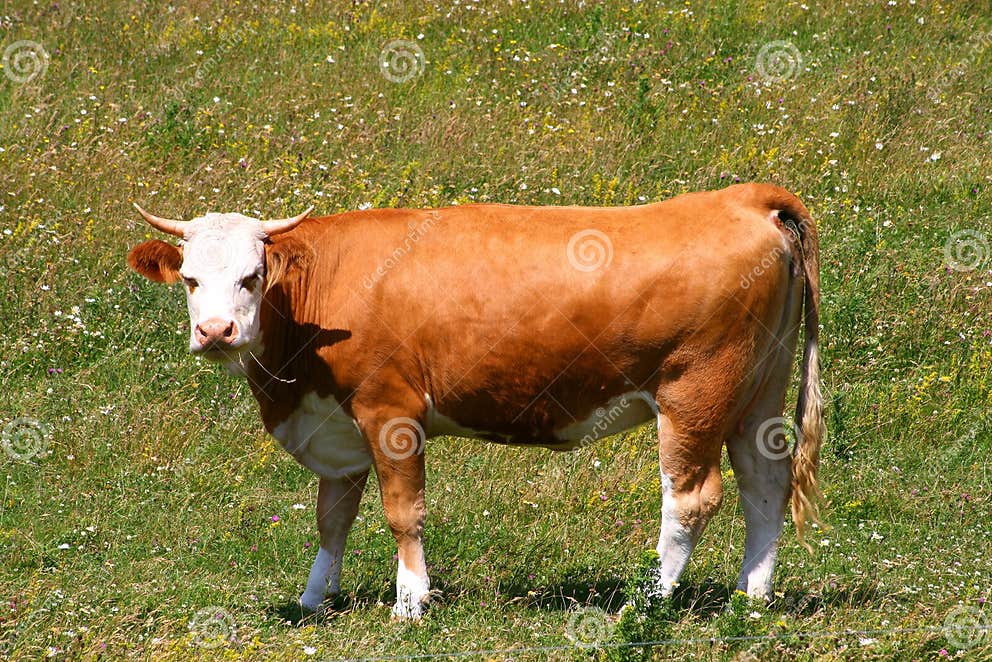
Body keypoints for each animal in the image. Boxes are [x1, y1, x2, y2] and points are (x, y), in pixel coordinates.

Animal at [126, 183, 824, 620]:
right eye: (190, 279)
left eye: (251, 278)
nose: (216, 331)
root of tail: (743, 196)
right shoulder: (337, 428)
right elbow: (333, 518)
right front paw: (314, 598)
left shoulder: (390, 411)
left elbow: (402, 512)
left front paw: (411, 602)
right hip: (757, 392)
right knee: (764, 484)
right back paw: (752, 598)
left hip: (696, 393)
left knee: (691, 498)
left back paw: (649, 601)